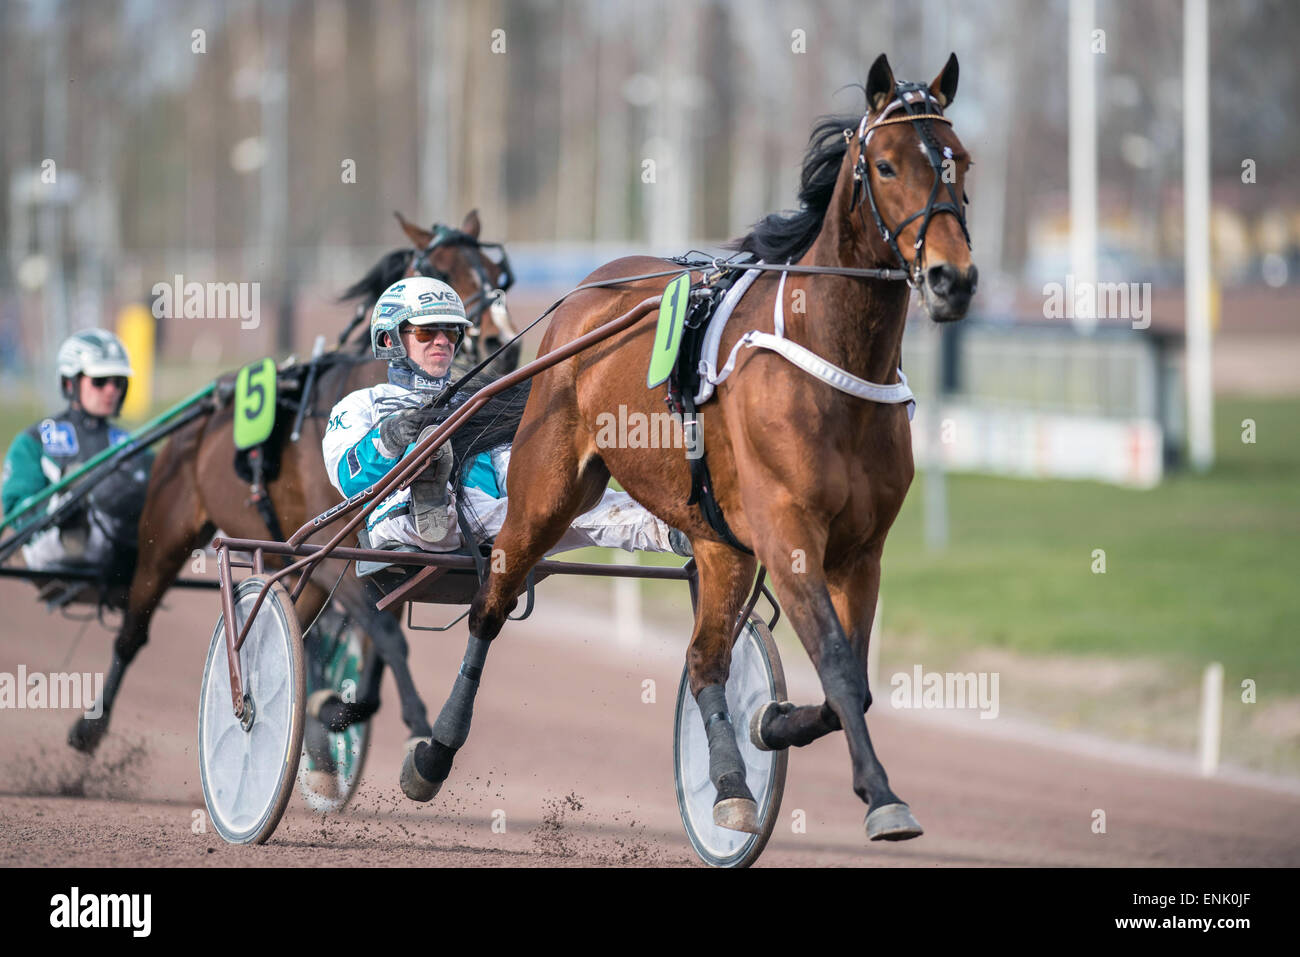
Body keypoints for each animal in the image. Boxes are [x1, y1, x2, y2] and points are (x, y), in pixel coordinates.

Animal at [68, 210, 515, 756]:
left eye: (495, 274)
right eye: (442, 270)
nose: (498, 342)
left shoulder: (365, 561)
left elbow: (374, 640)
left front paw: (337, 710)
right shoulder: (332, 553)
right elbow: (386, 634)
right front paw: (411, 724)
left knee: (288, 626)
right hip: (165, 535)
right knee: (134, 628)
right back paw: (91, 727)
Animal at [404, 54, 978, 843]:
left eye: (961, 161)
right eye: (887, 164)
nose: (954, 278)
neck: (832, 363)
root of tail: (592, 289)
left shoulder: (860, 550)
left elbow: (851, 686)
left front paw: (771, 723)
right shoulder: (789, 533)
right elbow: (835, 661)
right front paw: (883, 796)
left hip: (717, 540)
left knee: (704, 660)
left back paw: (731, 781)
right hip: (547, 489)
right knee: (491, 600)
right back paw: (434, 751)